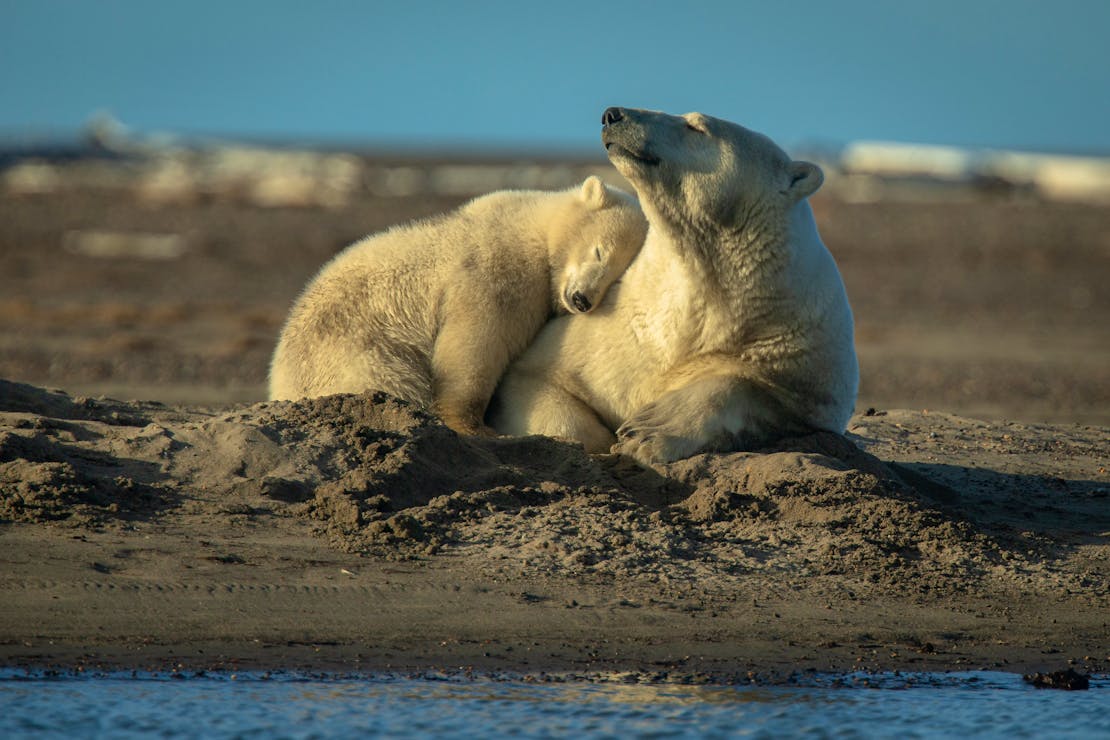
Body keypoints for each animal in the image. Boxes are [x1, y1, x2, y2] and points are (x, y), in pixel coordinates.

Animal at [268, 176, 648, 435]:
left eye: (616, 278)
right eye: (600, 251)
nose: (582, 299)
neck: (535, 229)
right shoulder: (494, 271)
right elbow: (475, 344)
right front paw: (474, 427)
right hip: (358, 351)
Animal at [488, 107, 858, 464]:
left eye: (696, 126)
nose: (612, 114)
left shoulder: (804, 353)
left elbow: (750, 389)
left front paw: (647, 431)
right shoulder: (606, 340)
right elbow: (539, 380)